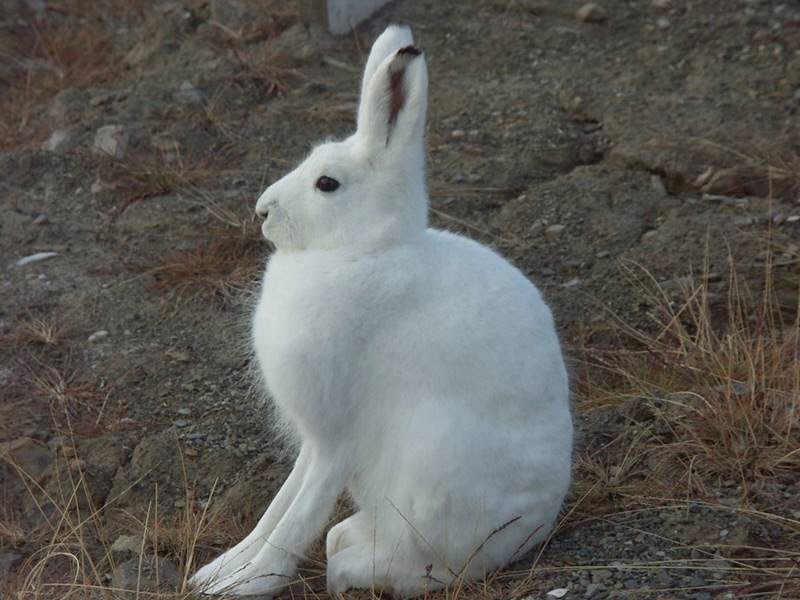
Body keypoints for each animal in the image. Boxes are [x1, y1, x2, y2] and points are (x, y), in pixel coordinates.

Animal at [190, 24, 573, 598]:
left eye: (327, 184)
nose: (261, 211)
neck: (364, 250)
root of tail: (539, 523)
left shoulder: (336, 436)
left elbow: (298, 516)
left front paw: (248, 583)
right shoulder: (313, 439)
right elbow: (278, 506)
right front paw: (216, 571)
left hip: (432, 477)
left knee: (423, 568)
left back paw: (352, 570)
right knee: (345, 535)